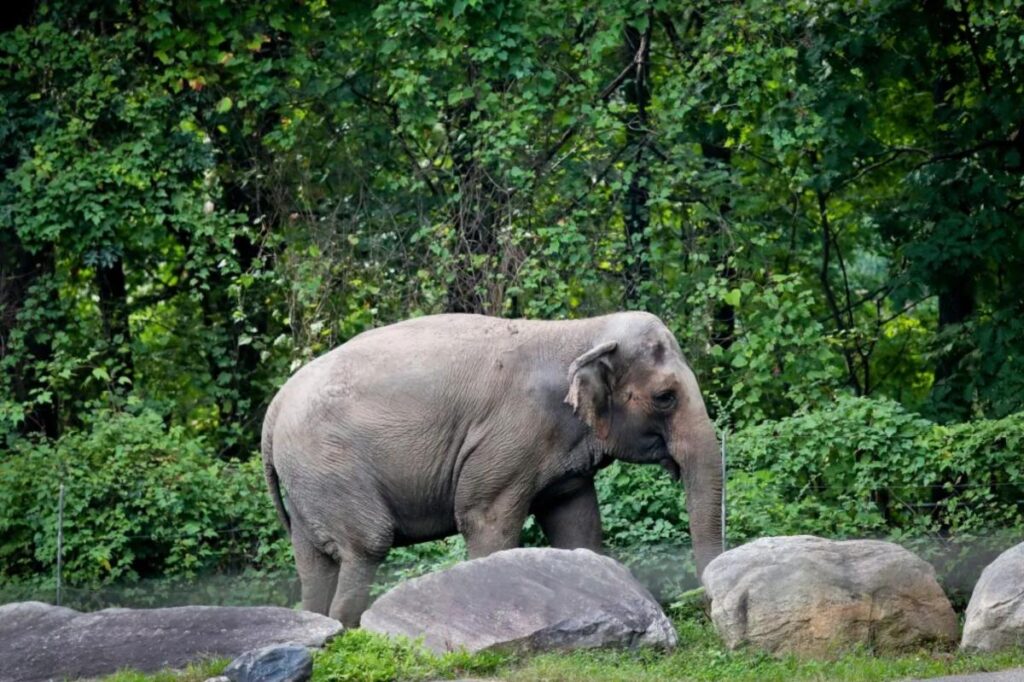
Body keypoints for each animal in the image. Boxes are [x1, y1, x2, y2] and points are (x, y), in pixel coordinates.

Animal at [261, 312, 723, 627]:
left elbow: (578, 525)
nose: (705, 606)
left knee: (313, 563)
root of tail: (275, 407)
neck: (581, 330)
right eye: (665, 397)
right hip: (330, 465)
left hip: (307, 481)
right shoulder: (509, 438)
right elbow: (486, 521)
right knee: (366, 545)